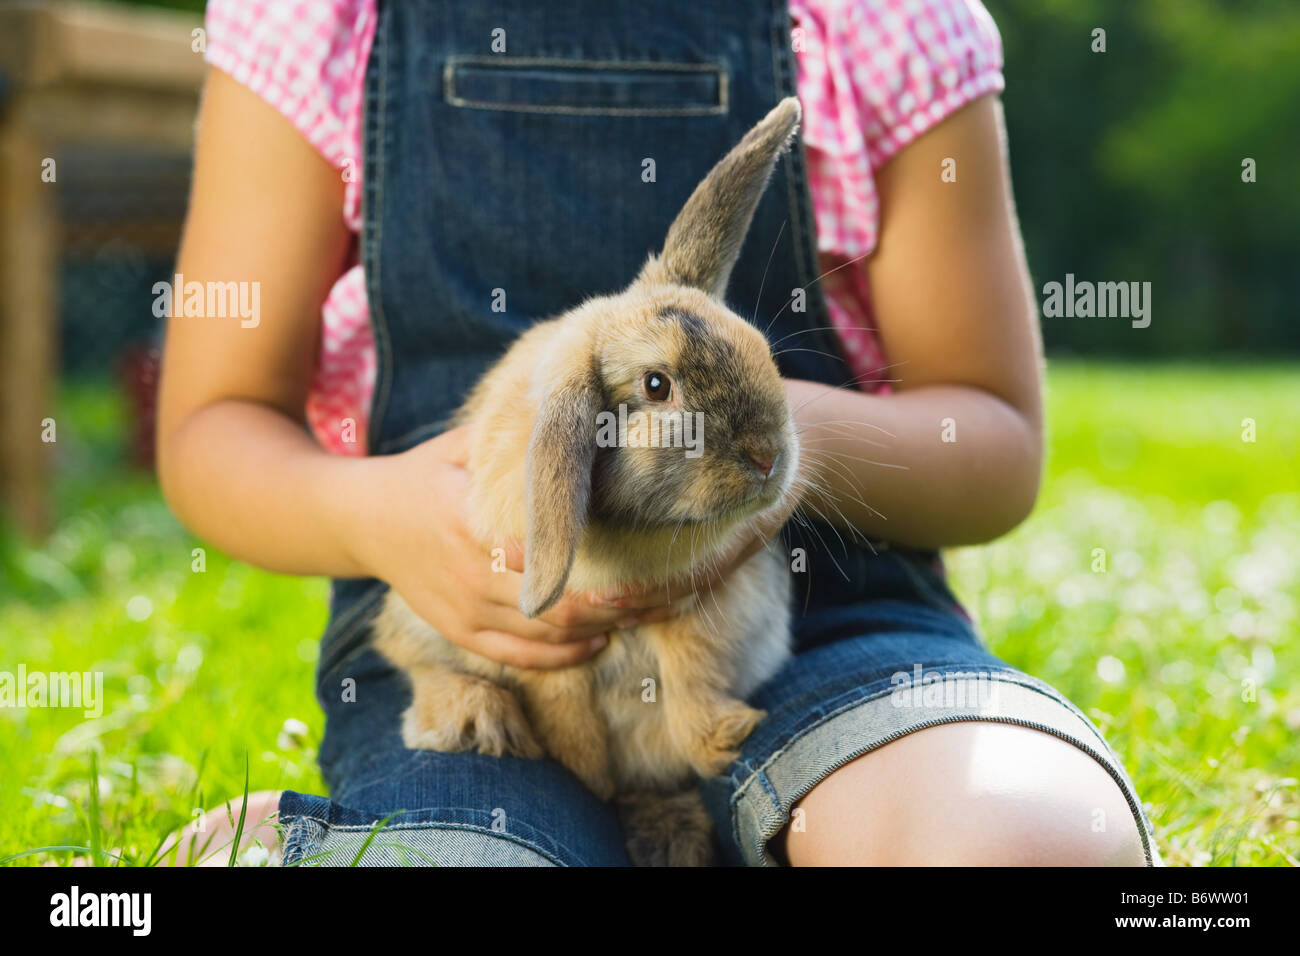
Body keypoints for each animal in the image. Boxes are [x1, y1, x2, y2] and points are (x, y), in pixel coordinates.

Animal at [372, 98, 807, 866]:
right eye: (657, 386)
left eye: (758, 346)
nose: (767, 457)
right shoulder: (542, 650)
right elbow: (570, 726)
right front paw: (589, 785)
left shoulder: (702, 614)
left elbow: (691, 685)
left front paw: (724, 741)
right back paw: (477, 721)